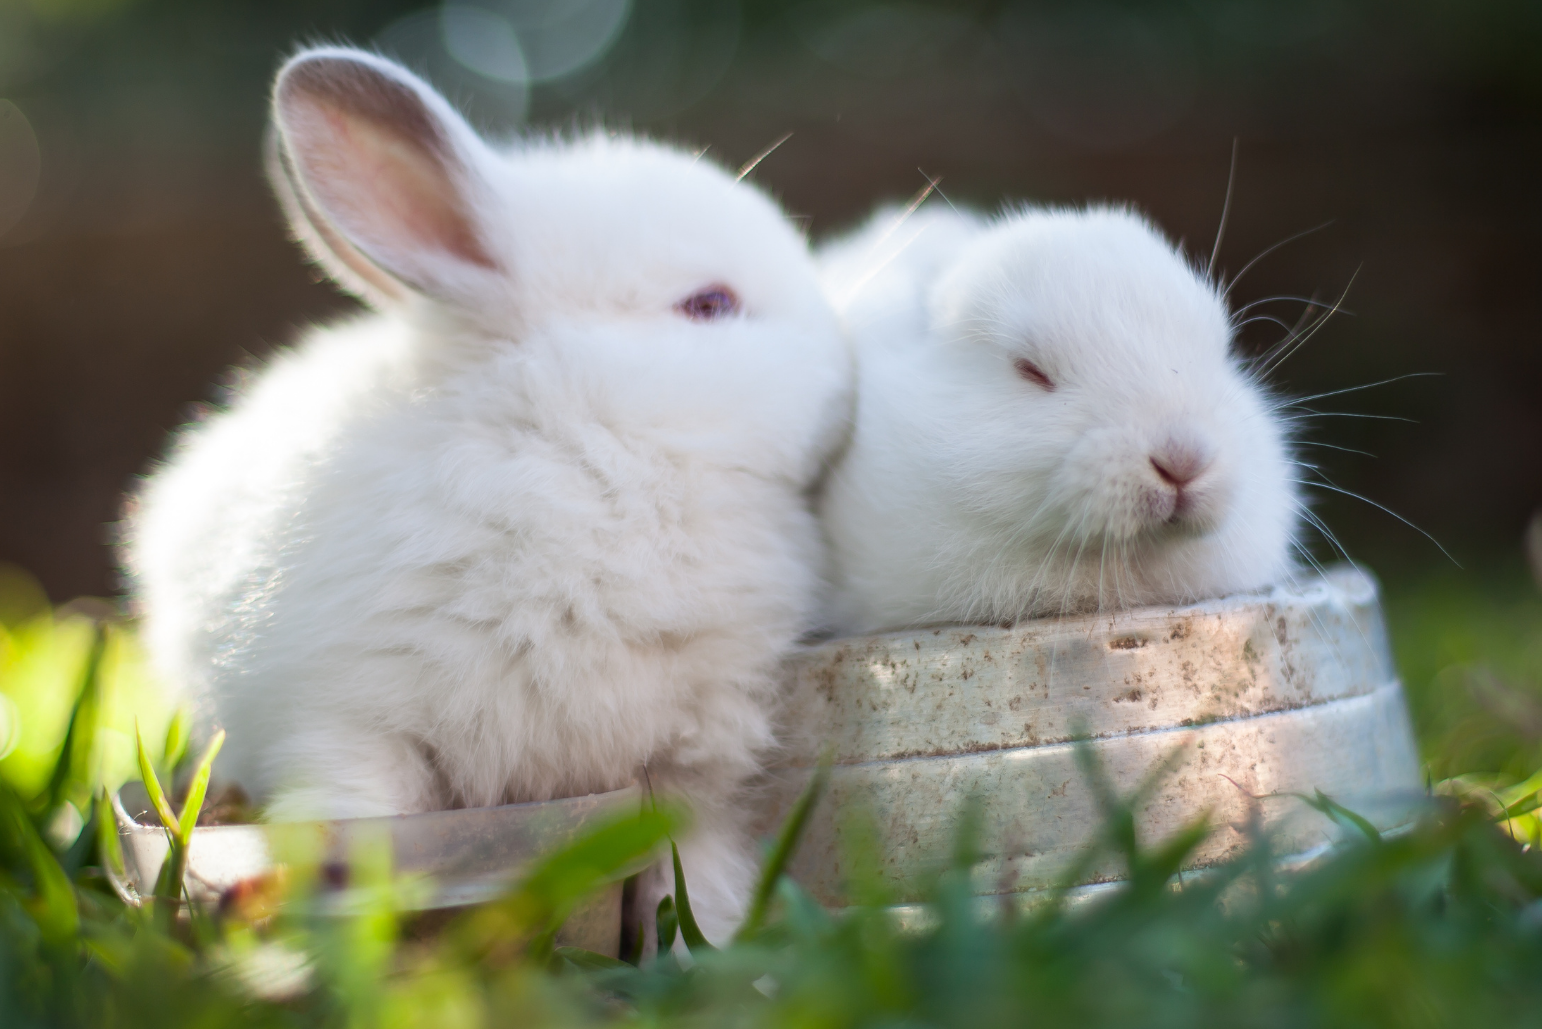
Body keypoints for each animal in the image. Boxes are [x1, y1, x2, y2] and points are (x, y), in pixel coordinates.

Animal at [122, 46, 853, 944]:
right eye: (708, 304)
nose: (848, 367)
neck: (583, 450)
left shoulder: (693, 765)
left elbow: (696, 871)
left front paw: (708, 946)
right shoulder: (346, 722)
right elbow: (361, 815)